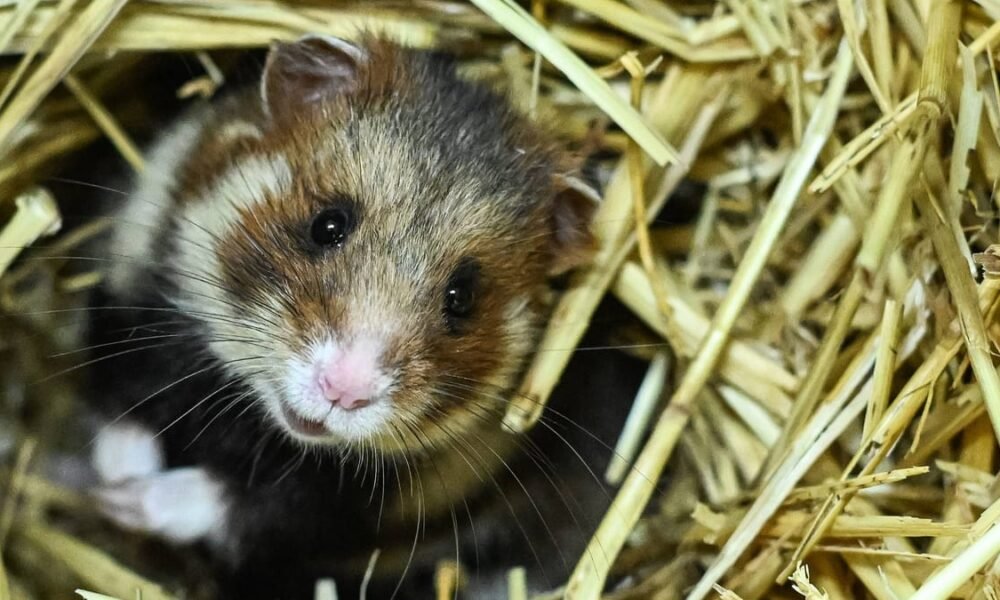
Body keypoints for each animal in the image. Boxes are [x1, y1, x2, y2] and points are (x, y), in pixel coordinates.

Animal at [84, 34, 644, 598]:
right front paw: (115, 485)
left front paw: (127, 503)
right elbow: (121, 403)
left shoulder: (344, 506)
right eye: (327, 224)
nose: (343, 391)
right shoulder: (132, 290)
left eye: (462, 296)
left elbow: (238, 509)